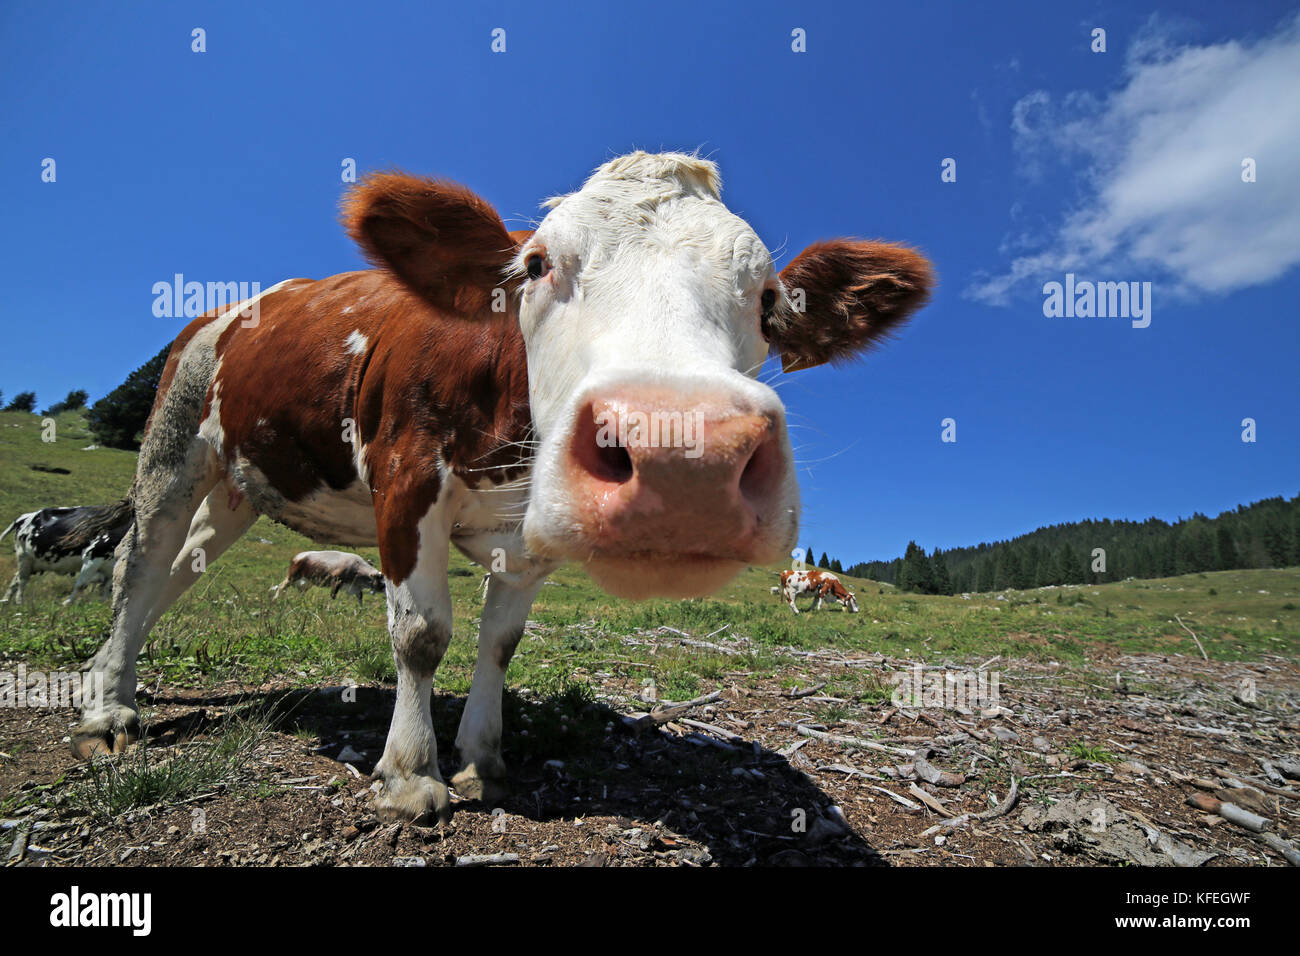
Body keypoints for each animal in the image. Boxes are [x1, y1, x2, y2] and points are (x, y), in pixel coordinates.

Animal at [1, 500, 132, 605]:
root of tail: (24, 517)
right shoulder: (92, 556)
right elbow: (81, 584)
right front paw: (66, 603)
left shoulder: (110, 569)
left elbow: (106, 590)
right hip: (24, 557)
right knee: (22, 580)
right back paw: (19, 602)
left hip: (34, 563)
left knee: (16, 579)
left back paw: (5, 601)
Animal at [71, 152, 932, 825]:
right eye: (537, 265)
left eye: (769, 299)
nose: (684, 461)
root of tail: (228, 309)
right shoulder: (405, 480)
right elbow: (422, 635)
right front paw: (410, 774)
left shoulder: (530, 533)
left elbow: (501, 642)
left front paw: (480, 758)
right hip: (174, 445)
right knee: (137, 565)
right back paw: (108, 710)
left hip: (238, 488)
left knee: (175, 574)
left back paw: (112, 679)